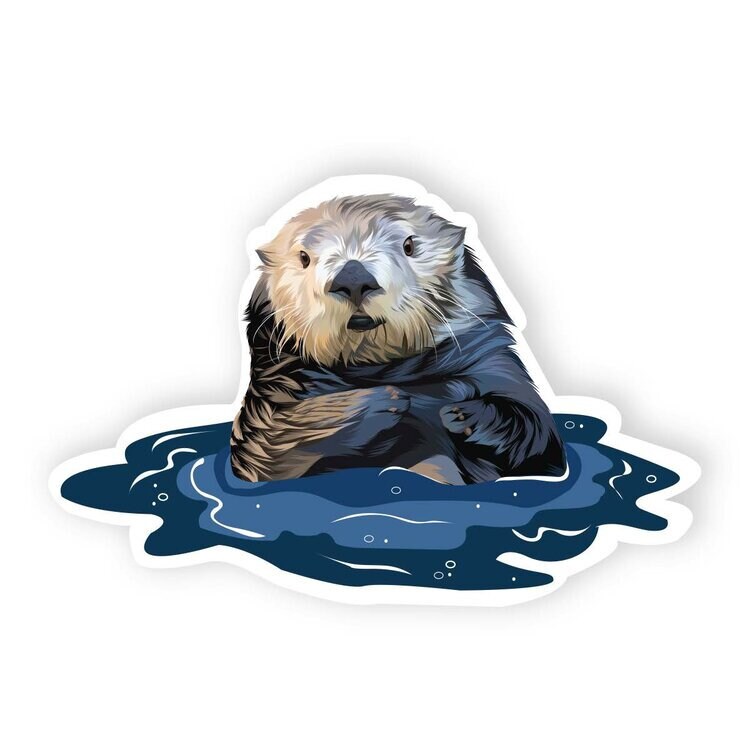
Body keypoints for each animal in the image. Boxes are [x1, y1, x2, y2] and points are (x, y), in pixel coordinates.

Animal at [230, 195, 565, 485]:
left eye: (409, 245)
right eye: (303, 257)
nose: (353, 278)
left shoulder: (491, 357)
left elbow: (539, 430)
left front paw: (462, 413)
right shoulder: (274, 385)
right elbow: (264, 448)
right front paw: (385, 400)